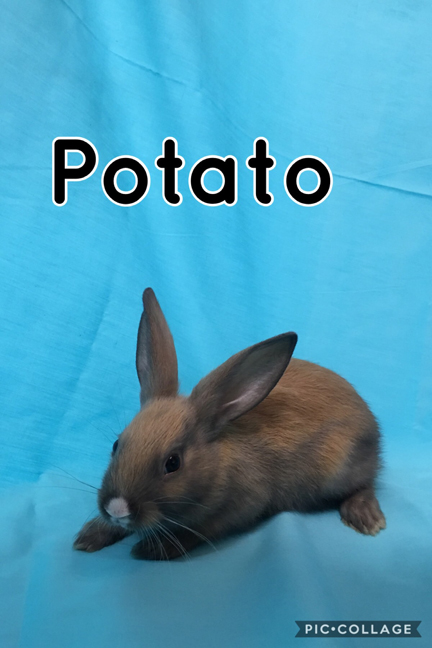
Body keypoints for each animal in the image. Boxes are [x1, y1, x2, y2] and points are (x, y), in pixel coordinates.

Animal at [74, 288, 386, 560]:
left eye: (173, 463)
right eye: (116, 445)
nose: (117, 509)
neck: (217, 463)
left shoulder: (241, 506)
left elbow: (201, 530)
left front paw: (152, 548)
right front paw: (89, 536)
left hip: (342, 466)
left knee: (364, 483)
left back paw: (366, 518)